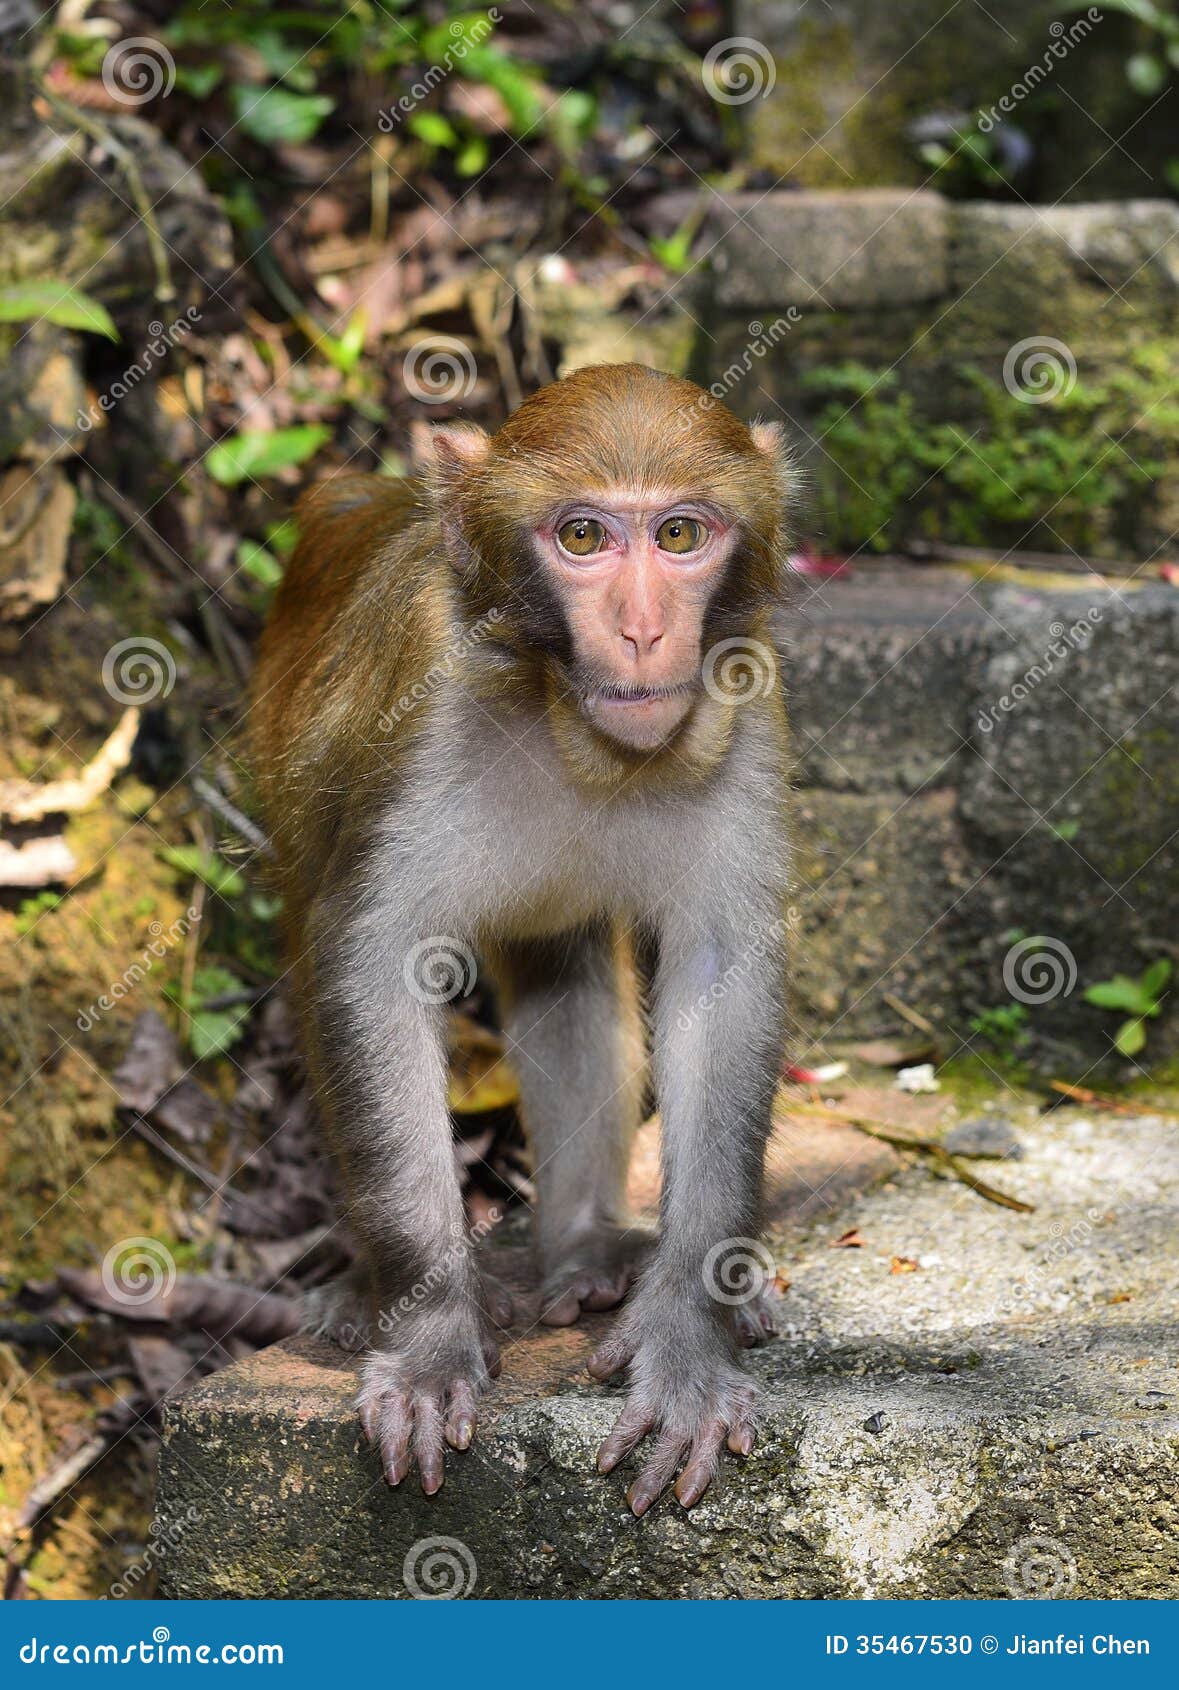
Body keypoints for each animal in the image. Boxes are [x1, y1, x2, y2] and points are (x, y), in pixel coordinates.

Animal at [251, 362, 792, 1516]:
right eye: (581, 537)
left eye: (680, 533)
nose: (643, 632)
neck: (560, 712)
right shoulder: (420, 701)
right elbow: (369, 962)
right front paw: (428, 1336)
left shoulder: (745, 699)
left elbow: (721, 972)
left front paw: (688, 1334)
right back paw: (366, 1288)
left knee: (566, 977)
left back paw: (586, 1253)